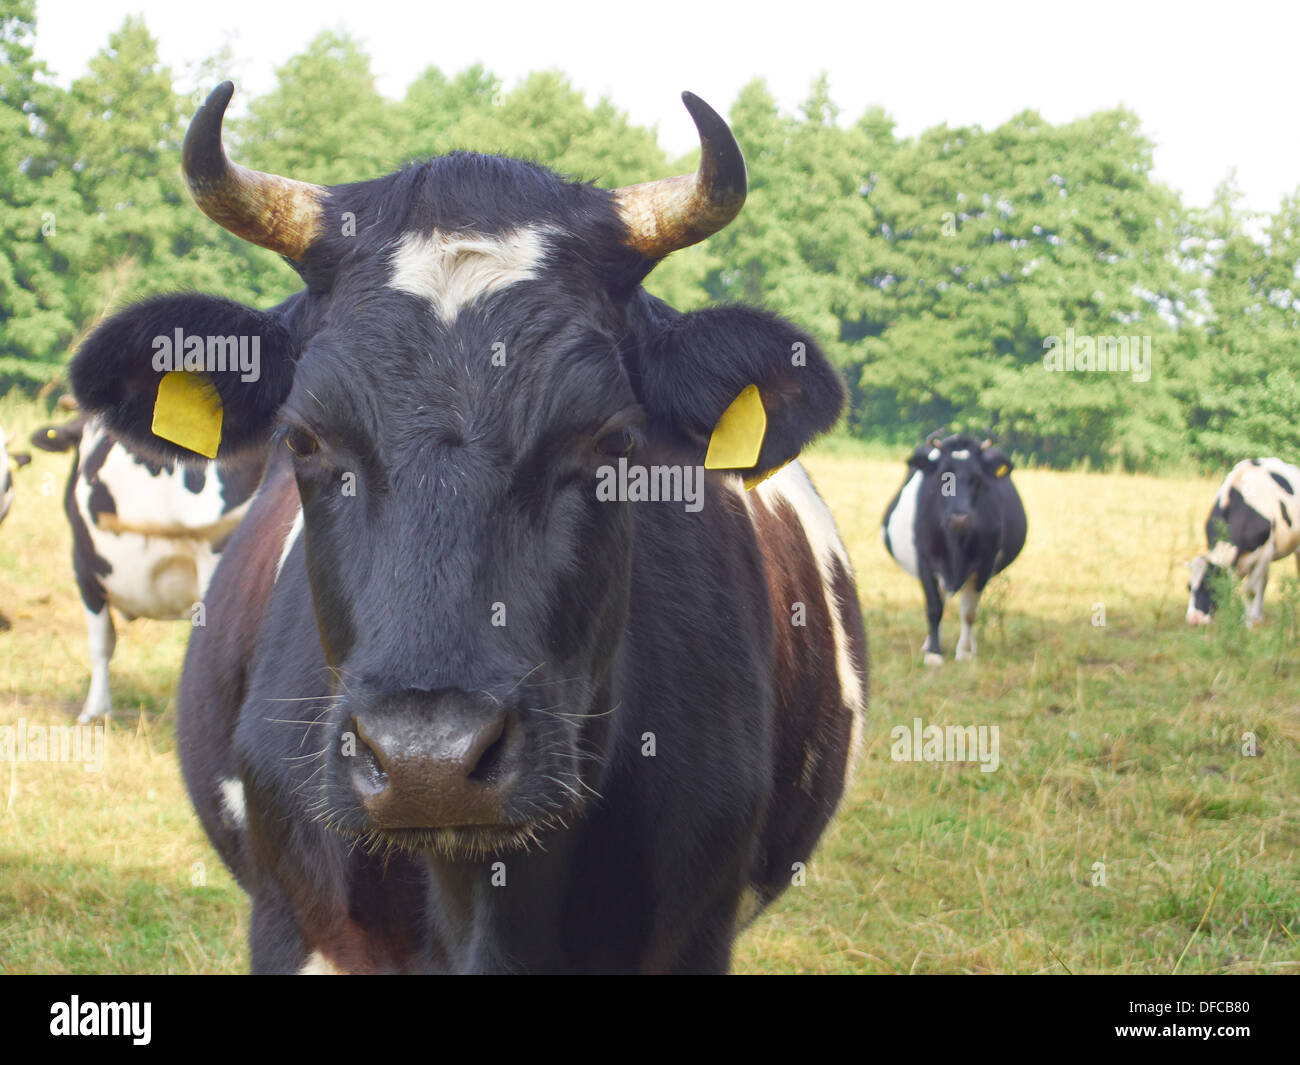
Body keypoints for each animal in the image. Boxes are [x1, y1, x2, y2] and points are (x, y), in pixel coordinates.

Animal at [882, 430, 1026, 666]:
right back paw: (929, 643)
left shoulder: (984, 565)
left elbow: (969, 612)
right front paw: (934, 653)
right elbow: (934, 608)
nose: (959, 517)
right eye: (942, 475)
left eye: (977, 478)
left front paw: (965, 651)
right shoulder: (925, 561)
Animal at [1186, 457, 1300, 627]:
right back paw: (1259, 615)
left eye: (1210, 585)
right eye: (1189, 587)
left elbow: (1250, 590)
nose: (1194, 619)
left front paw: (1247, 621)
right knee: (1263, 582)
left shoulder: (1264, 552)